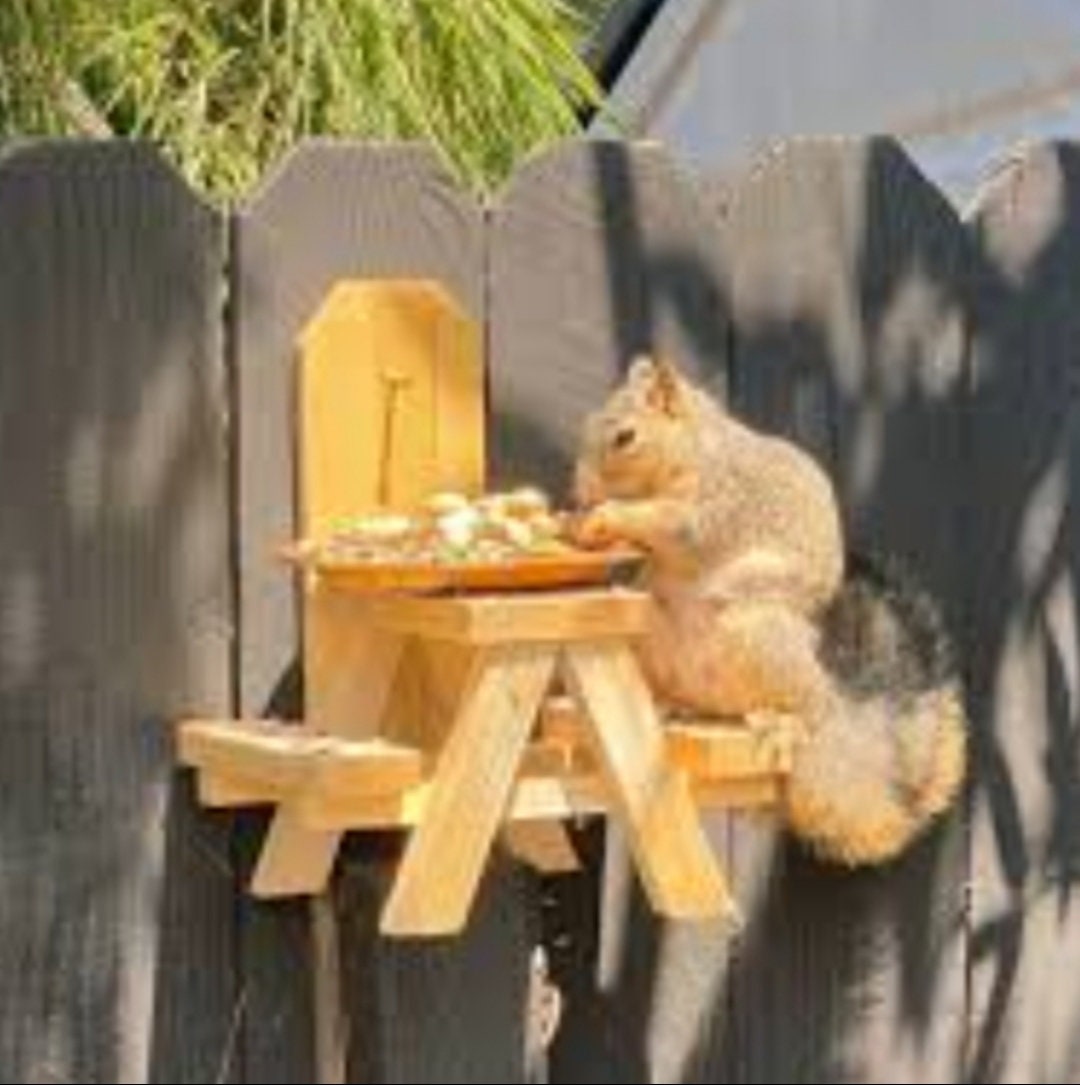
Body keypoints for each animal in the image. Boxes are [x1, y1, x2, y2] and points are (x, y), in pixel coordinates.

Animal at [571, 354, 967, 865]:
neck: (696, 450)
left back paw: (786, 723)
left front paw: (607, 518)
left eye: (625, 437)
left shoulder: (716, 508)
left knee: (807, 706)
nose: (579, 493)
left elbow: (677, 527)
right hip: (655, 635)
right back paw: (669, 703)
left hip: (760, 634)